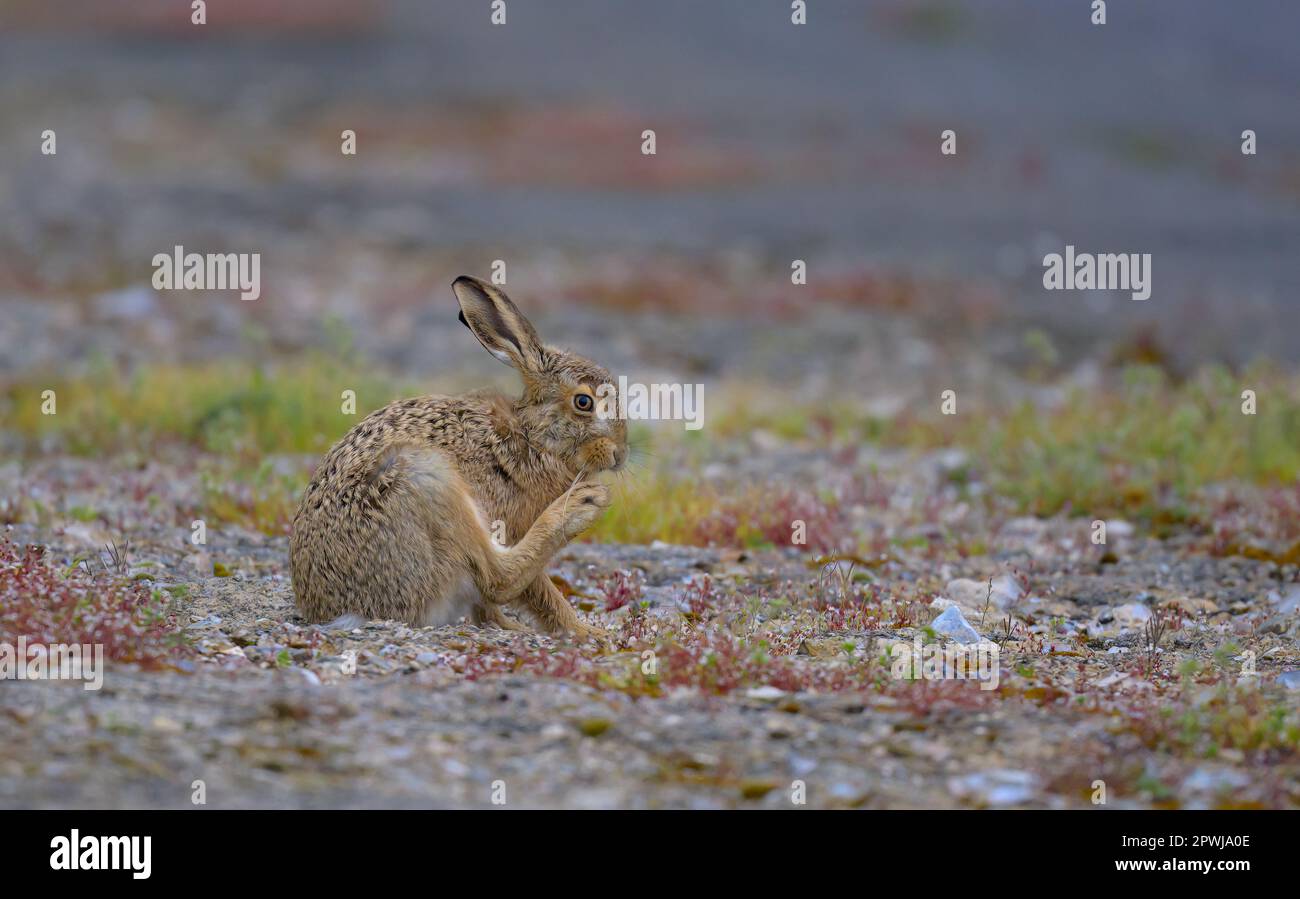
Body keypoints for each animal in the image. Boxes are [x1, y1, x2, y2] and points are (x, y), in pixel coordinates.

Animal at [289, 276, 626, 641]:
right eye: (583, 402)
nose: (620, 454)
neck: (533, 437)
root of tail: (340, 610)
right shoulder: (509, 526)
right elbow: (535, 590)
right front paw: (586, 631)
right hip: (425, 481)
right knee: (496, 576)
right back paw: (583, 504)